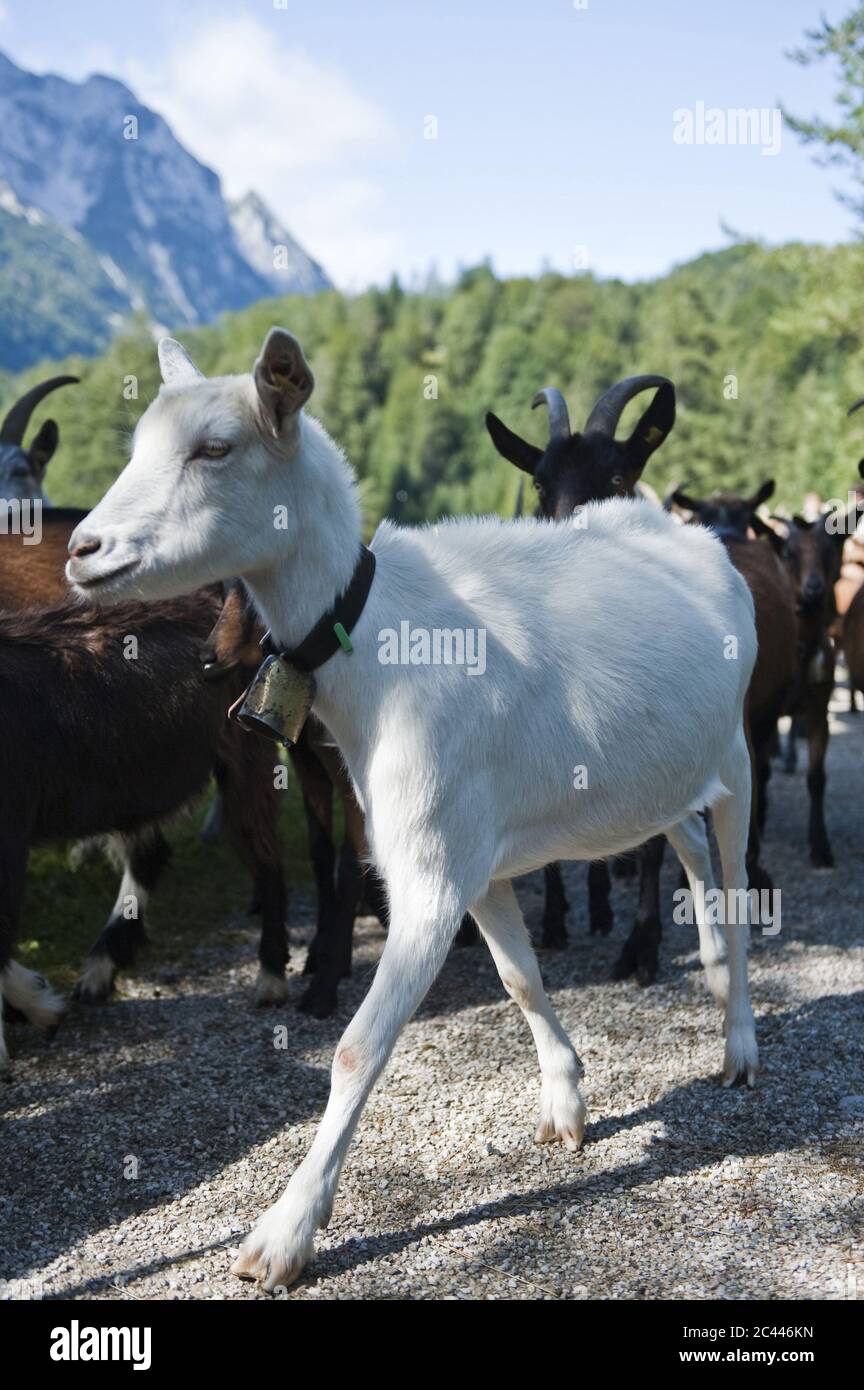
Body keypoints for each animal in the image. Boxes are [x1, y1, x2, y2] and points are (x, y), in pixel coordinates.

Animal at [0, 511, 288, 1011]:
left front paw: (38, 1005)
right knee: (151, 853)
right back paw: (99, 969)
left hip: (248, 755)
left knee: (268, 855)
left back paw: (271, 977)